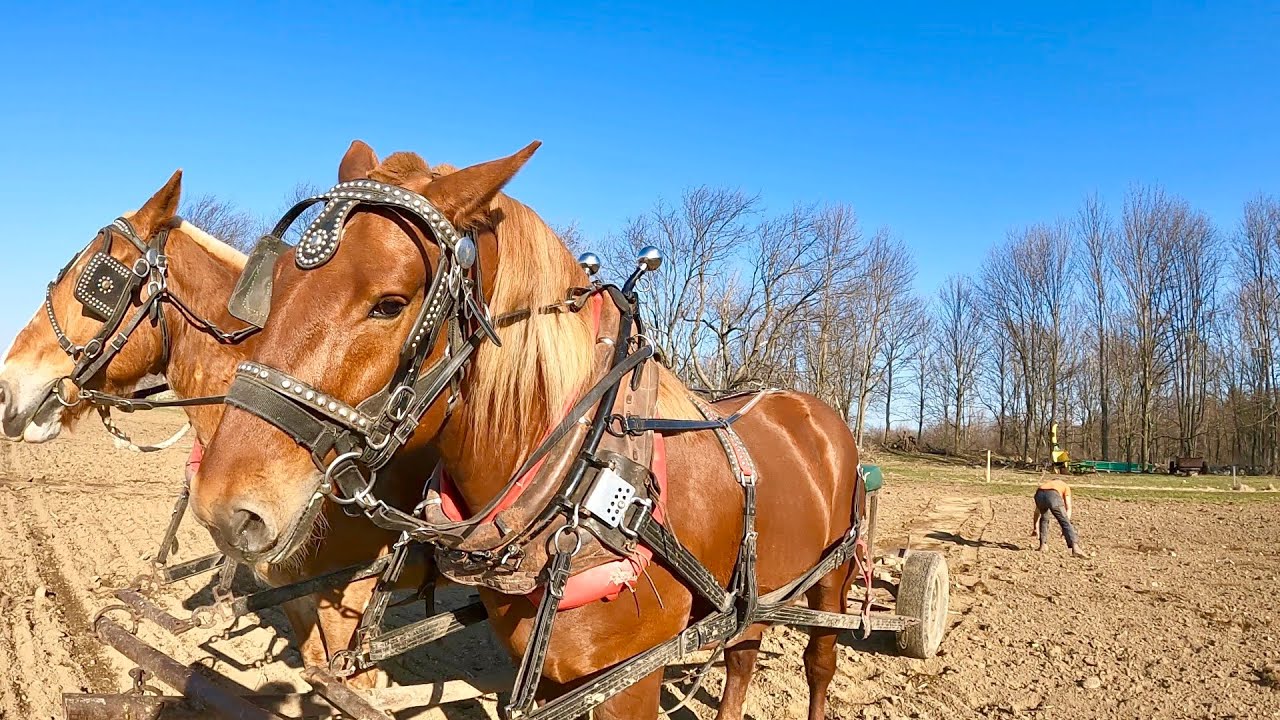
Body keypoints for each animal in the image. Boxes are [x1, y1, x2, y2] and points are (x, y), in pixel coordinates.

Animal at [191, 141, 864, 719]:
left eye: (390, 303)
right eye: (277, 285)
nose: (223, 506)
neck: (584, 476)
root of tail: (818, 412)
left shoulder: (632, 680)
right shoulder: (551, 675)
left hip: (831, 579)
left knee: (820, 661)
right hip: (762, 589)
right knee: (745, 649)